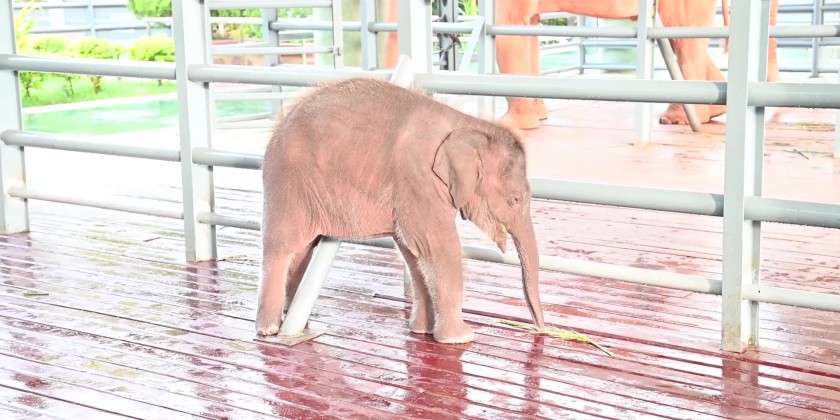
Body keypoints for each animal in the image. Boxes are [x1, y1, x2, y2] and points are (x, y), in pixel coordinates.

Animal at [256, 77, 546, 344]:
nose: (540, 330)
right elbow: (439, 247)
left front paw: (422, 331)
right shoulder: (419, 180)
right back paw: (269, 329)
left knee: (303, 249)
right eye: (515, 199)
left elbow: (414, 252)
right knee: (282, 247)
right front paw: (461, 338)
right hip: (287, 183)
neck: (469, 125)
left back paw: (296, 322)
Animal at [380, 0, 780, 130]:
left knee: (684, 37)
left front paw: (512, 124)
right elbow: (523, 30)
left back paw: (679, 119)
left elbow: (508, 27)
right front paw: (536, 118)